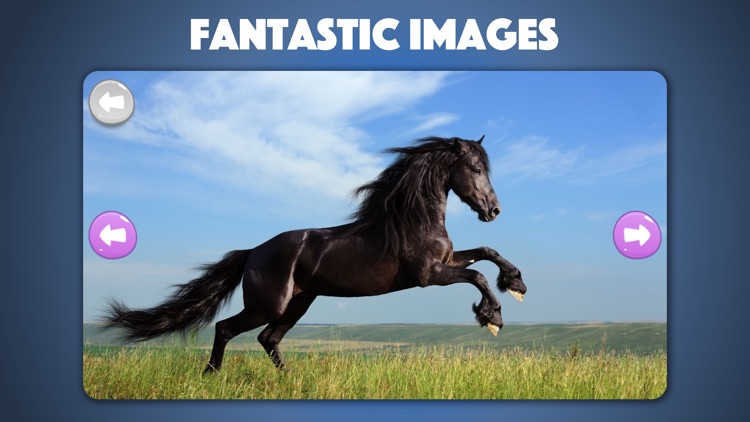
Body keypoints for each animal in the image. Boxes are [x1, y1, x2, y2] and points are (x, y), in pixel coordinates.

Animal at [102, 135, 527, 374]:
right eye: (475, 168)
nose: (493, 210)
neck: (413, 220)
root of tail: (253, 252)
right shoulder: (428, 274)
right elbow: (477, 275)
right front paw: (492, 317)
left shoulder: (446, 261)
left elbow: (486, 252)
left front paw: (516, 284)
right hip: (269, 304)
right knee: (227, 329)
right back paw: (211, 375)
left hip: (300, 302)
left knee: (268, 338)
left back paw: (289, 379)